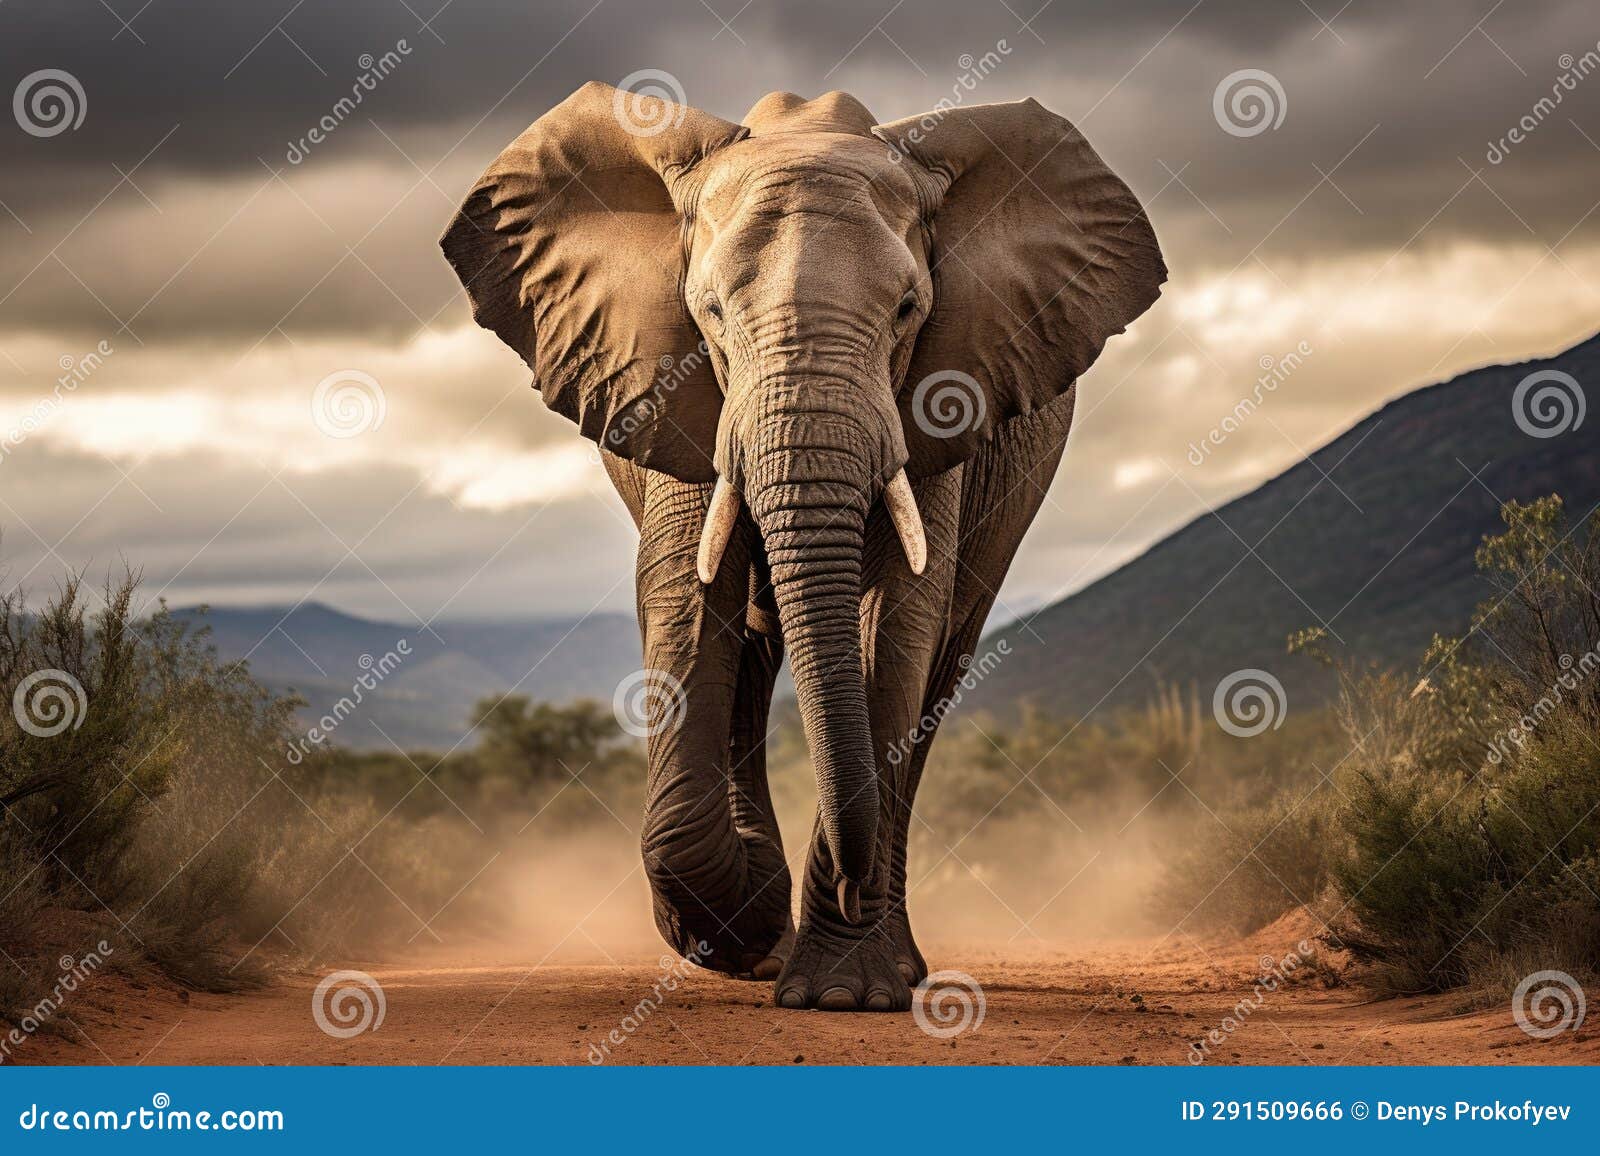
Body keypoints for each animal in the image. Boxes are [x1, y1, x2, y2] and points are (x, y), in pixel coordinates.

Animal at [441, 84, 1164, 1011]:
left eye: (907, 311)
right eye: (710, 313)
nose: (848, 893)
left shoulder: (938, 397)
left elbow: (896, 619)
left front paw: (842, 992)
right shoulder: (678, 386)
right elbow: (684, 592)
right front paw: (742, 933)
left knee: (939, 666)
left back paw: (889, 958)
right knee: (751, 644)